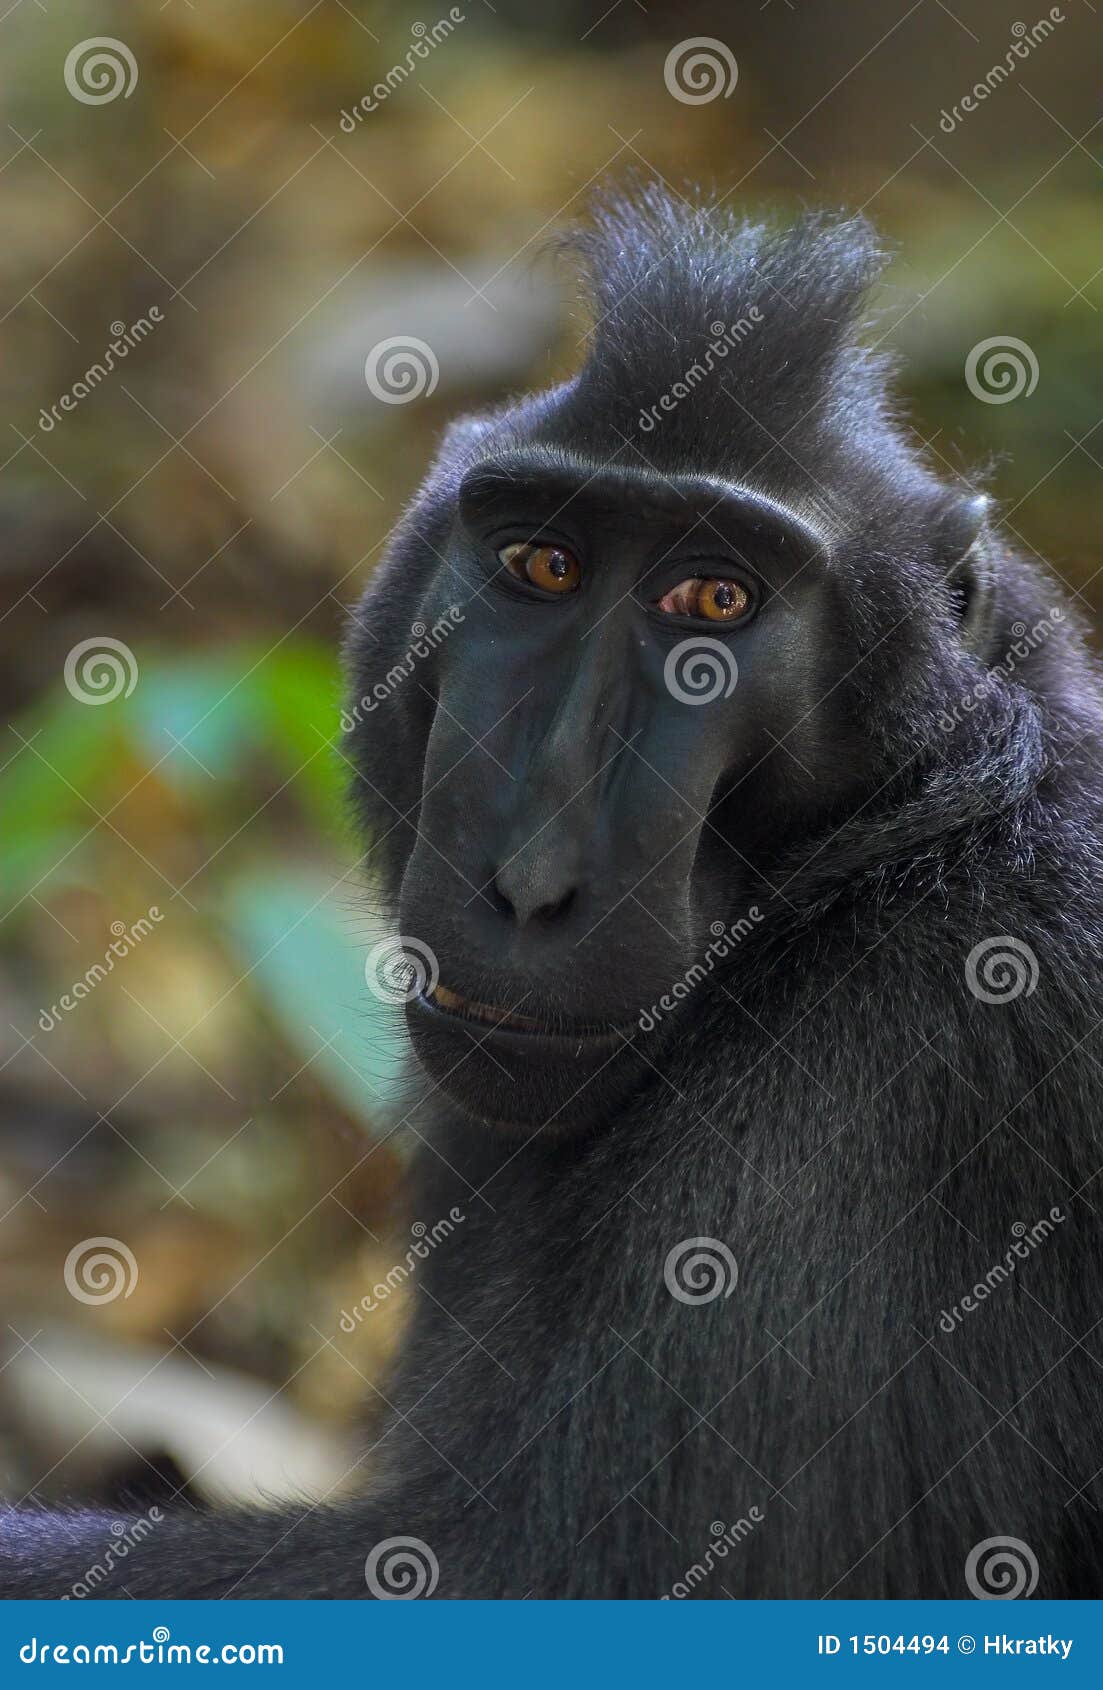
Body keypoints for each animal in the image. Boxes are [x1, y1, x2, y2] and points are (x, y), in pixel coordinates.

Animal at [3, 184, 1103, 1599]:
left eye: (713, 599)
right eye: (543, 568)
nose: (529, 882)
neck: (896, 839)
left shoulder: (920, 1066)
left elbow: (543, 1568)